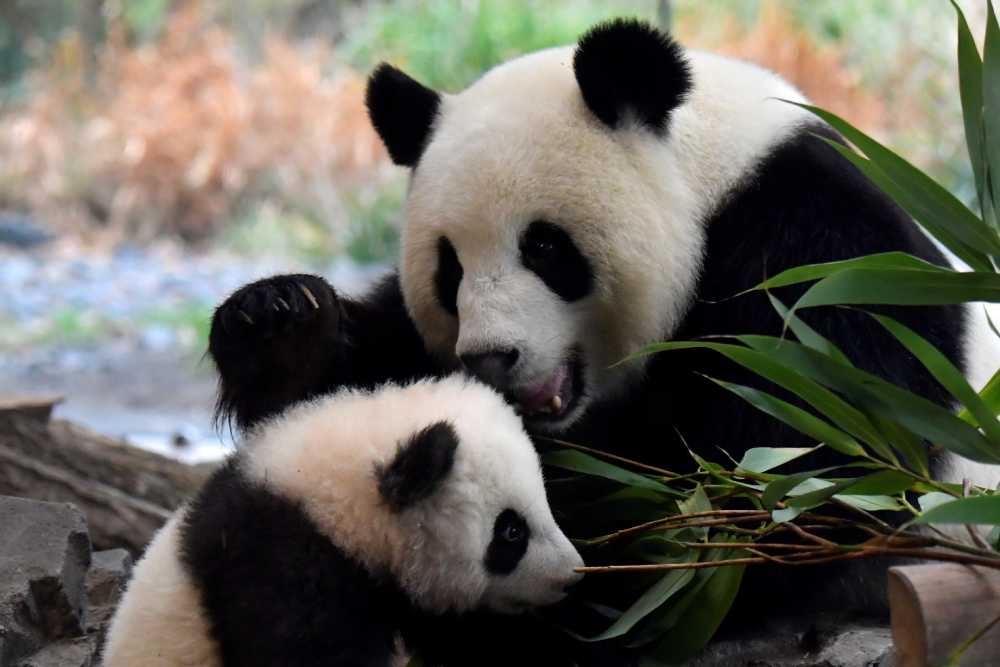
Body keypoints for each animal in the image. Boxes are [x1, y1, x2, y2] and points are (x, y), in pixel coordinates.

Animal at [205, 16, 1000, 660]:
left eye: (545, 247)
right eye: (449, 268)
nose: (490, 357)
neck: (710, 178)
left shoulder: (819, 250)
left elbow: (779, 465)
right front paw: (280, 323)